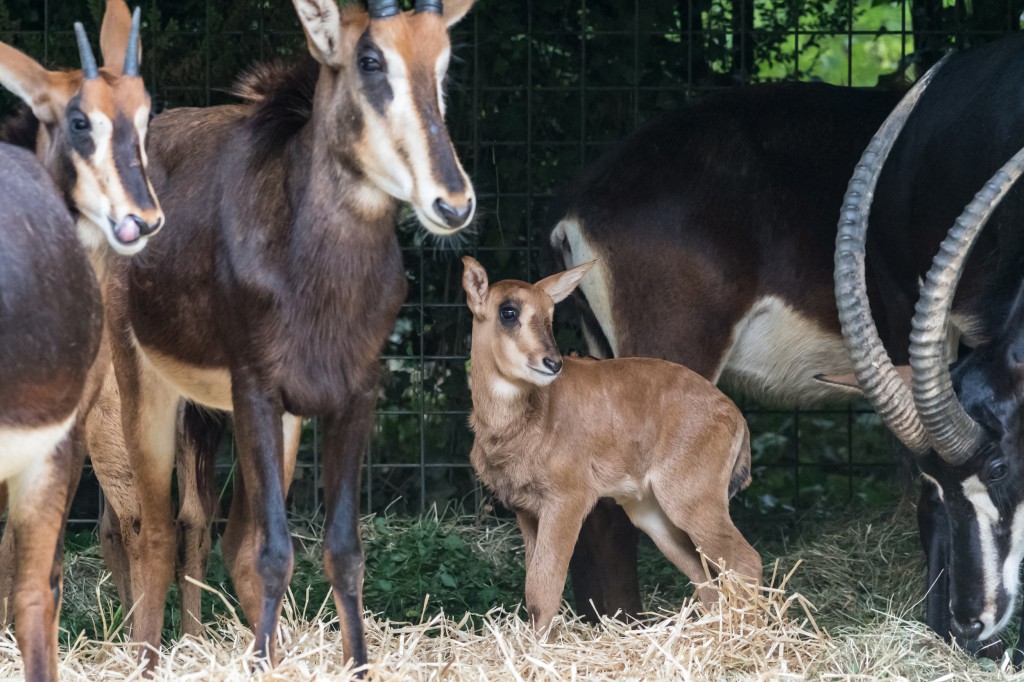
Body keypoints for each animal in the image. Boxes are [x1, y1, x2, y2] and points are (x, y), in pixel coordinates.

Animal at [101, 0, 475, 668]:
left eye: (443, 65)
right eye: (369, 60)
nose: (452, 203)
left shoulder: (354, 395)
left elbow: (342, 550)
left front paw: (351, 666)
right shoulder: (255, 388)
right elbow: (275, 550)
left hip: (278, 421)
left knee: (235, 542)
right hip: (146, 383)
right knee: (157, 531)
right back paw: (146, 660)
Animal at [462, 256, 761, 636]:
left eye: (550, 311)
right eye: (508, 311)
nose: (552, 363)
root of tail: (736, 417)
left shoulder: (567, 501)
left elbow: (545, 590)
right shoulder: (526, 511)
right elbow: (533, 589)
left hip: (693, 500)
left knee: (745, 561)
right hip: (654, 514)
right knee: (705, 575)